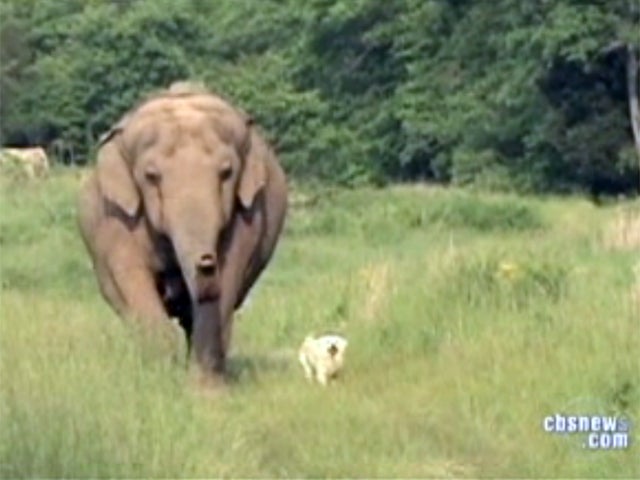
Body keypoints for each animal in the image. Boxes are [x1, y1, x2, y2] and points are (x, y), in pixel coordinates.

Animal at [77, 82, 288, 382]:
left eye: (227, 172)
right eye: (151, 176)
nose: (206, 261)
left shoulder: (250, 213)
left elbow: (229, 276)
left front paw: (206, 386)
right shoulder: (117, 217)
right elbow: (132, 275)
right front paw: (160, 377)